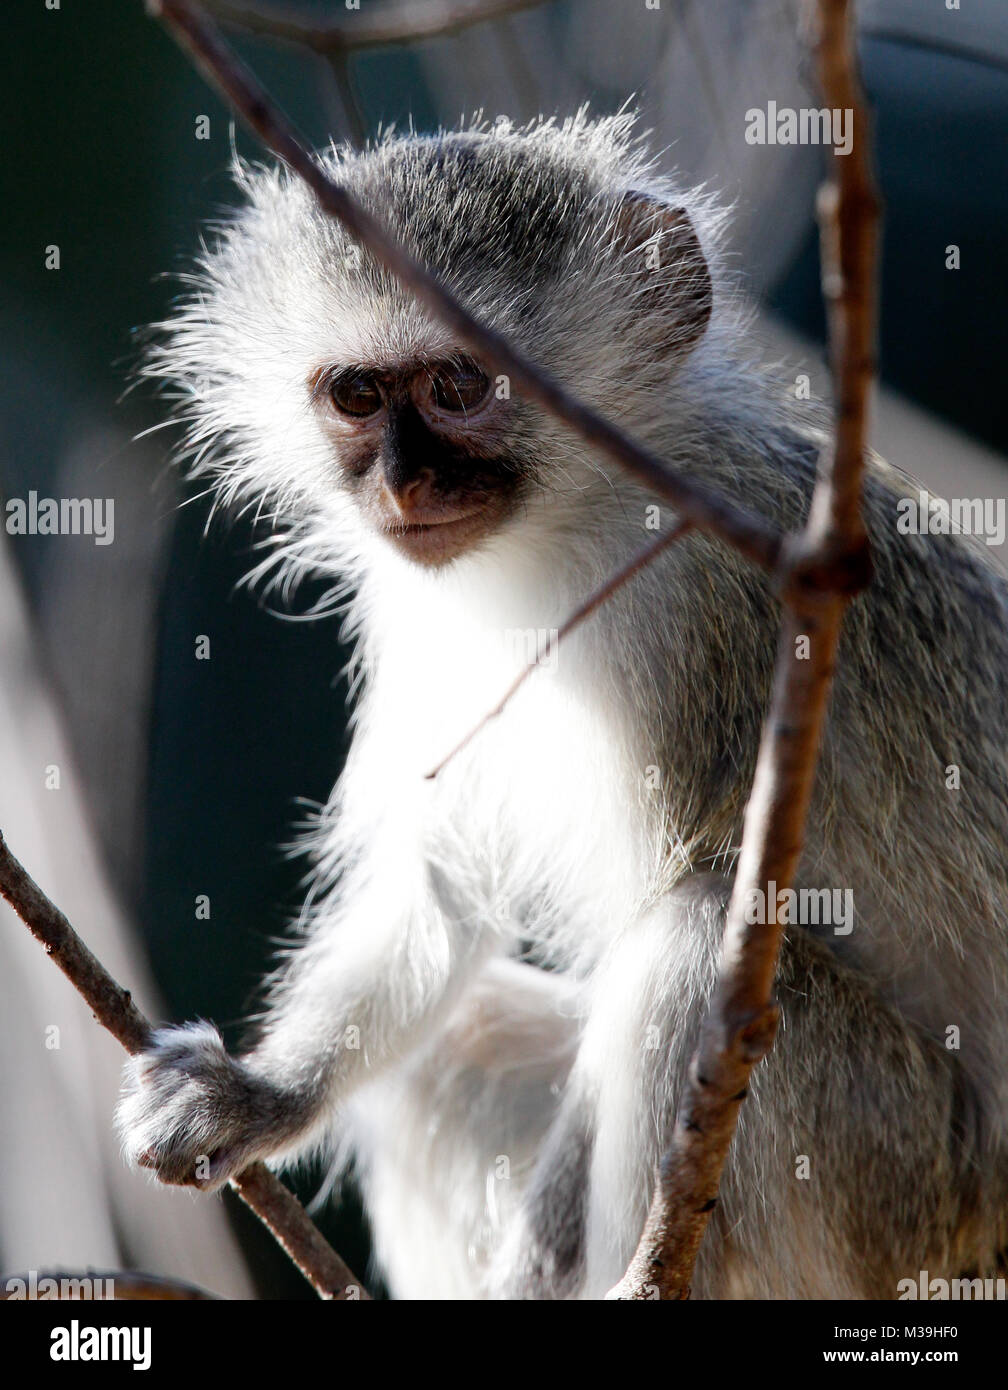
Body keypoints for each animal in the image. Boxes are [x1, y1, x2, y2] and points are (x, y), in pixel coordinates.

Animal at [117, 111, 1008, 1300]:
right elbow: (443, 885)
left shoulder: (721, 615)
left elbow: (668, 906)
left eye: (461, 385)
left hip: (903, 1190)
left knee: (689, 950)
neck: (571, 527)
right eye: (358, 396)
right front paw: (261, 1095)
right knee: (459, 1046)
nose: (402, 486)